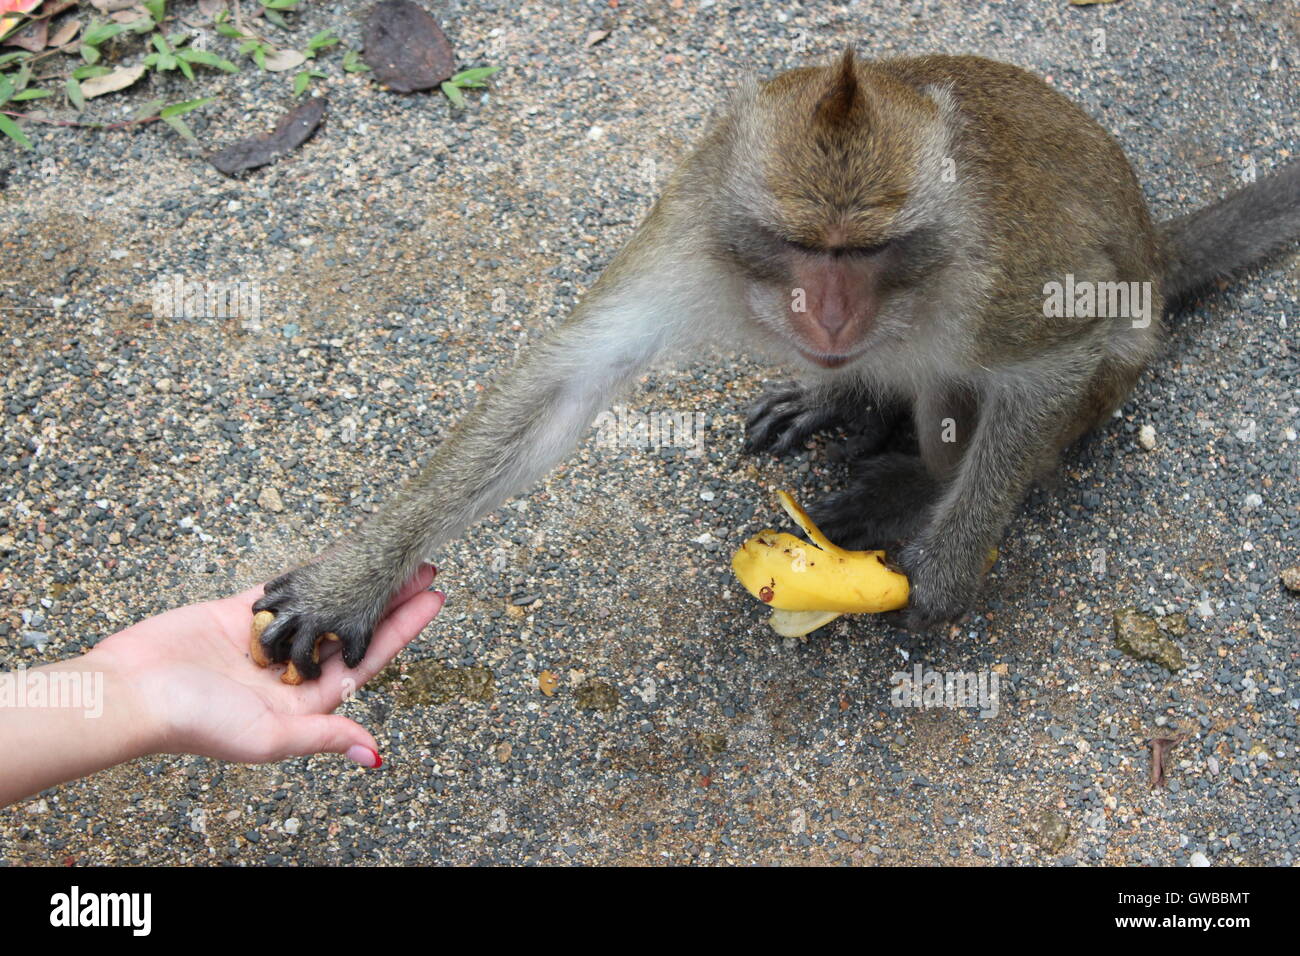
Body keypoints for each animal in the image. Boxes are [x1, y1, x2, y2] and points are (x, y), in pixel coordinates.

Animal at [252, 49, 1300, 680]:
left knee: (969, 395)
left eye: (867, 251)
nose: (830, 315)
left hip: (1112, 358)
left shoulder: (996, 285)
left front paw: (948, 566)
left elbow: (1059, 357)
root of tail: (1158, 249)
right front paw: (354, 581)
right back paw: (841, 398)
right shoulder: (691, 229)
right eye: (805, 246)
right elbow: (566, 385)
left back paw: (908, 484)